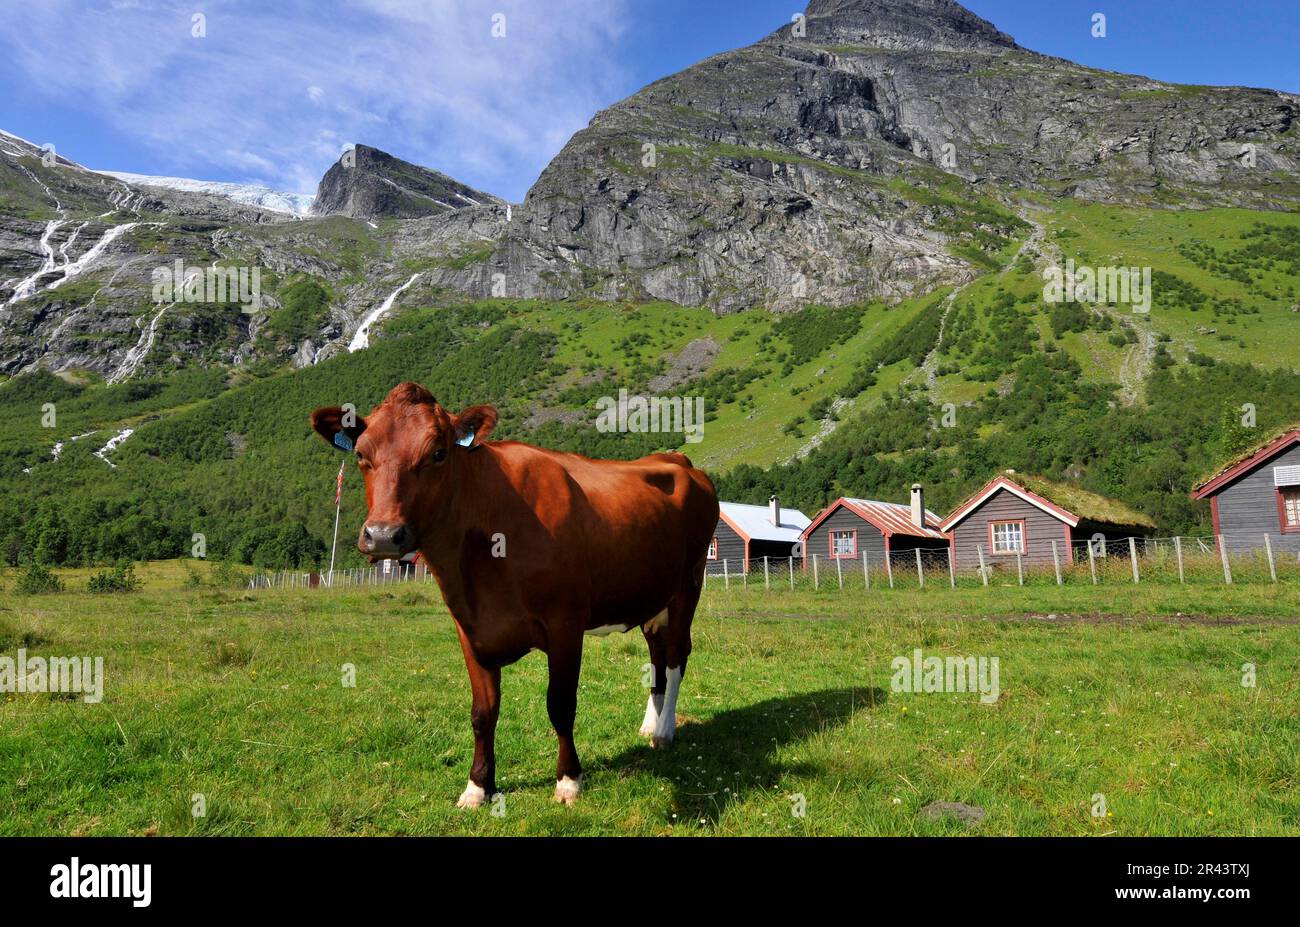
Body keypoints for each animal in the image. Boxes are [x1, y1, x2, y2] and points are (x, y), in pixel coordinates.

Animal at [310, 382, 719, 807]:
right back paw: (650, 725)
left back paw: (665, 730)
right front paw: (478, 787)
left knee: (675, 658)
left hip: (688, 586)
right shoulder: (469, 629)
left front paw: (569, 780)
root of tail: (675, 458)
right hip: (650, 598)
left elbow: (561, 704)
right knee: (657, 657)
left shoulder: (565, 622)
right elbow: (482, 712)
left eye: (438, 453)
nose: (384, 535)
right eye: (361, 454)